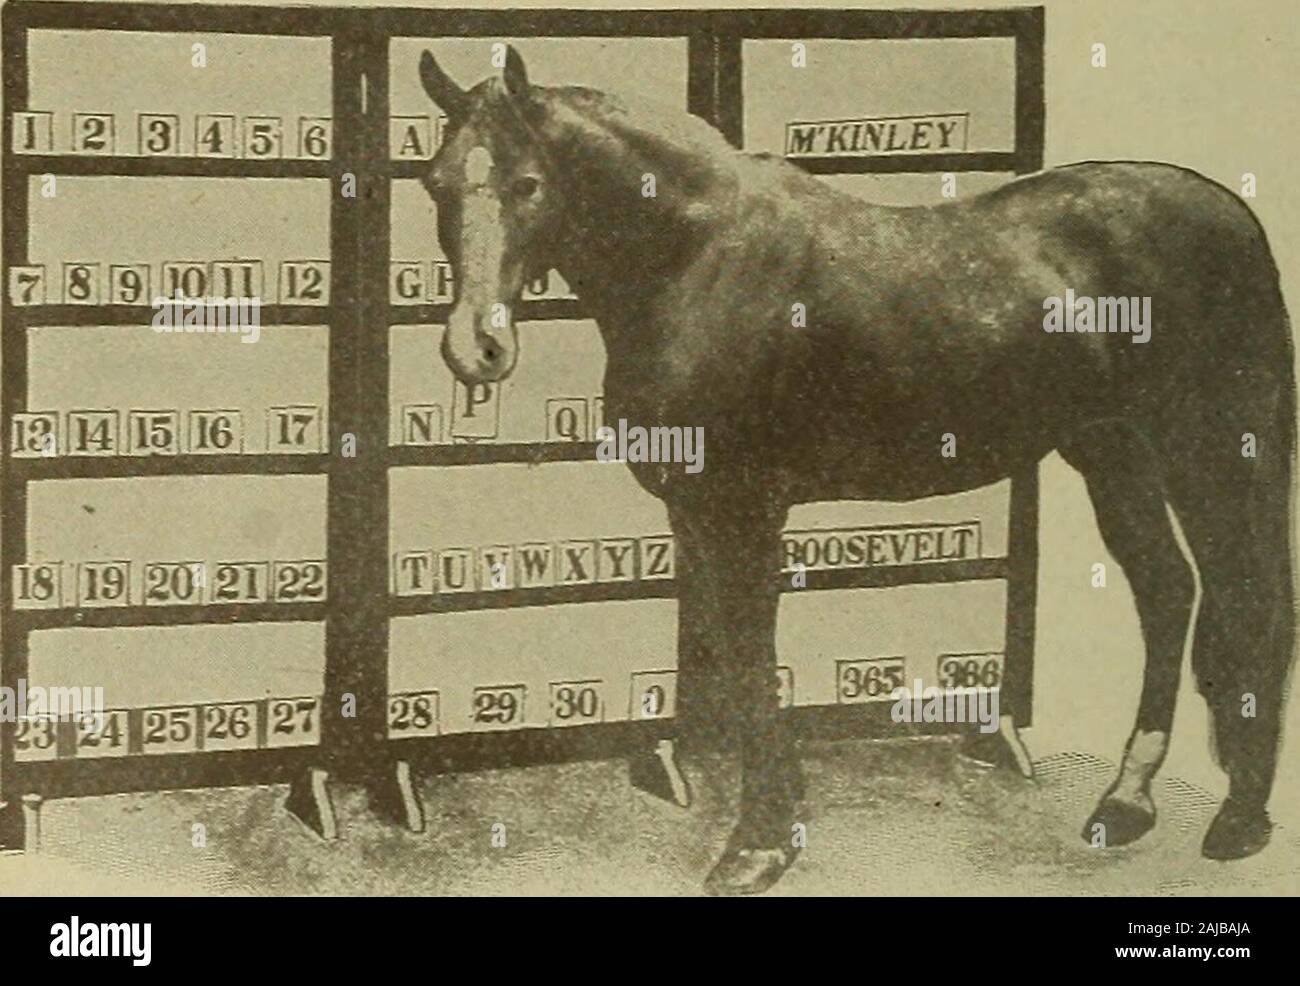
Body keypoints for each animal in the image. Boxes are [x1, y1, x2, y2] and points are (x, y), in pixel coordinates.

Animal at [415, 45, 1296, 895]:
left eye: (527, 183)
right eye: (436, 181)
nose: (476, 348)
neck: (696, 262)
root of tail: (1235, 217)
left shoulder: (745, 511)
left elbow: (752, 665)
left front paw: (759, 845)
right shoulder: (693, 511)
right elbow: (730, 659)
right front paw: (779, 814)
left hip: (1215, 450)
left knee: (1252, 599)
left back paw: (1239, 821)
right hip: (1112, 450)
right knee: (1168, 591)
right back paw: (1127, 801)